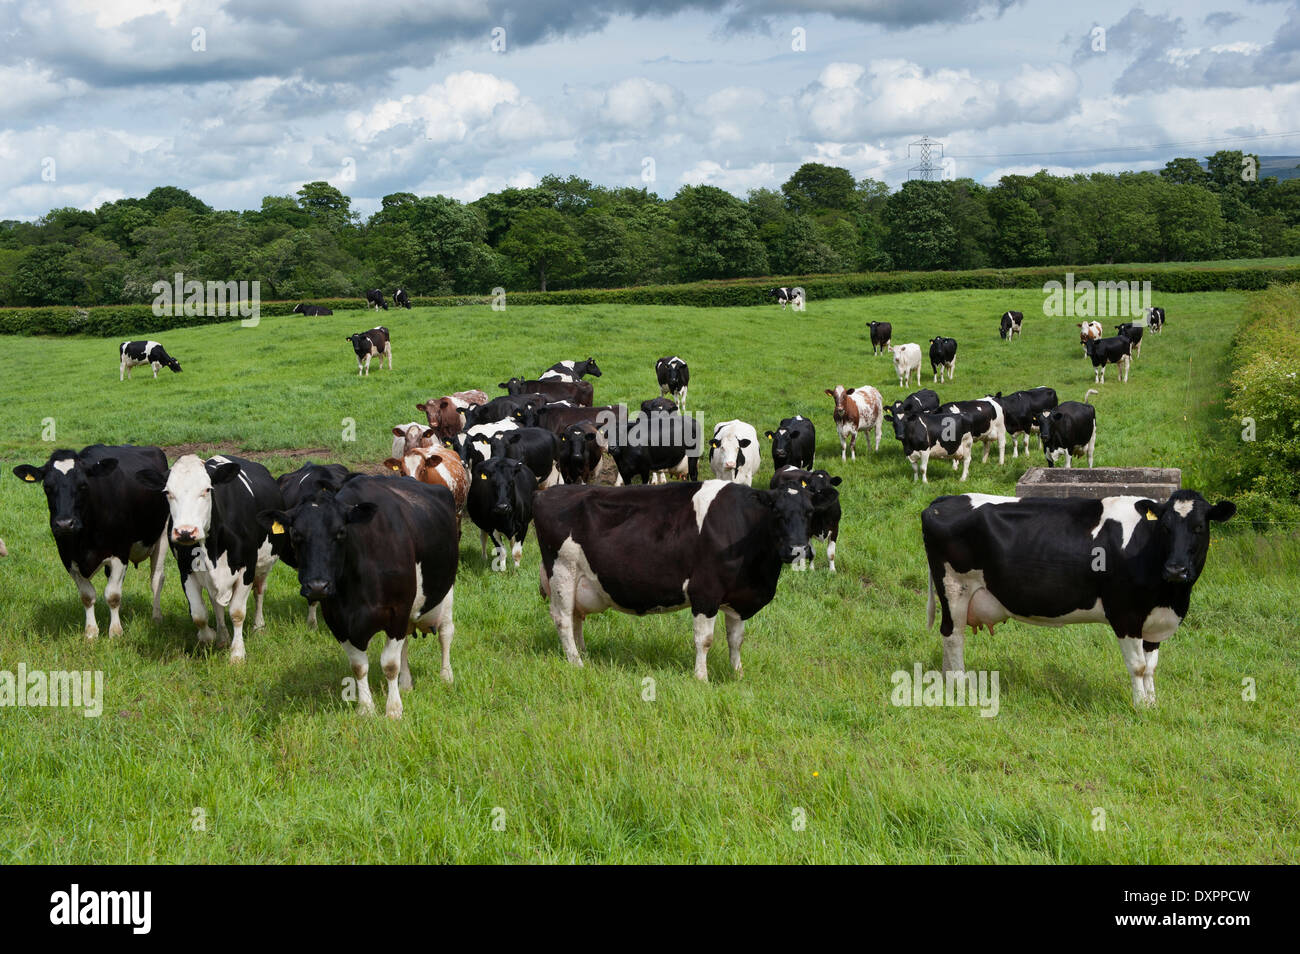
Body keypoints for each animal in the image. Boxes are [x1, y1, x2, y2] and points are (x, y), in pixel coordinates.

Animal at [14, 445, 169, 639]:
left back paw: (157, 617)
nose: (64, 523)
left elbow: (113, 595)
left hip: (162, 535)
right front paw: (91, 632)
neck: (84, 540)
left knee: (157, 579)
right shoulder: (68, 557)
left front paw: (115, 632)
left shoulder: (120, 553)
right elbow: (87, 596)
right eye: (47, 487)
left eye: (83, 485)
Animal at [134, 455, 282, 663]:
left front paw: (237, 654)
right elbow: (199, 614)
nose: (185, 532)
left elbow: (237, 612)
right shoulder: (186, 570)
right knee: (216, 602)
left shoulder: (247, 569)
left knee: (259, 590)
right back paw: (222, 636)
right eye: (168, 492)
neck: (213, 548)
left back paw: (258, 626)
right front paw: (210, 637)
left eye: (206, 489)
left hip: (263, 565)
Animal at [534, 480, 814, 679]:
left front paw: (738, 675)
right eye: (777, 513)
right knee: (562, 620)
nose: (798, 549)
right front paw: (701, 678)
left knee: (575, 617)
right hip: (562, 572)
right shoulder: (705, 592)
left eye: (810, 513)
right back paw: (576, 663)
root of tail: (548, 492)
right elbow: (705, 640)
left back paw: (583, 654)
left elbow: (736, 640)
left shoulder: (737, 597)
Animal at [921, 489, 1235, 706]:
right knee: (953, 636)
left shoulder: (1154, 622)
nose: (1175, 569)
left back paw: (948, 683)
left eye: (1199, 527)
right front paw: (1140, 707)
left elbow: (1151, 668)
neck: (1171, 596)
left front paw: (1152, 703)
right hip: (955, 587)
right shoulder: (1125, 614)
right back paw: (959, 687)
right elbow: (1138, 666)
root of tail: (945, 499)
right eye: (1165, 527)